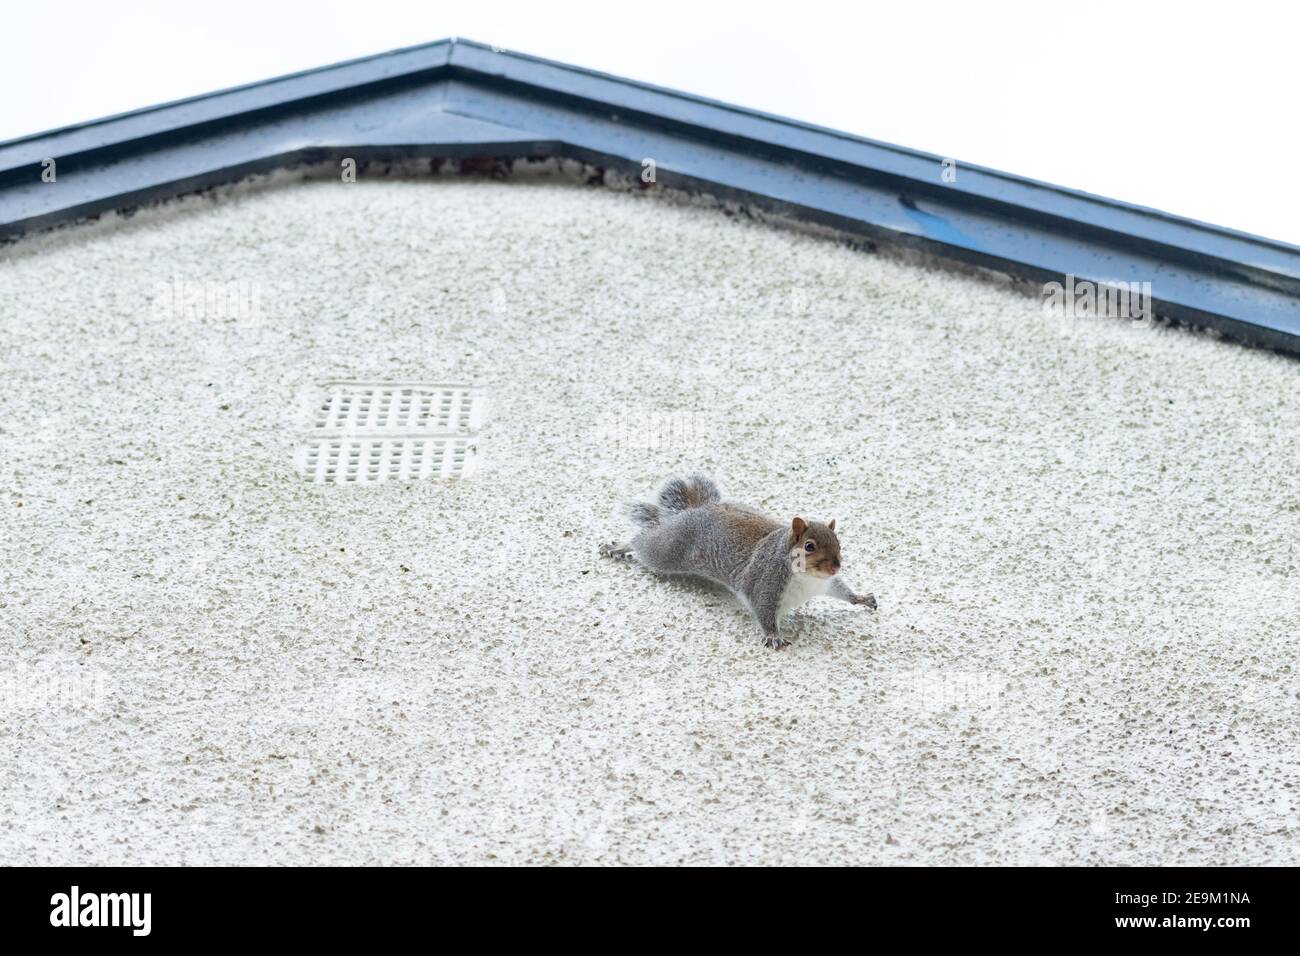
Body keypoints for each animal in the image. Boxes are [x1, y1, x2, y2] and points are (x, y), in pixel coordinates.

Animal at [599, 474, 877, 649]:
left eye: (838, 541)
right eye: (809, 546)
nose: (836, 566)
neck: (808, 579)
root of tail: (695, 510)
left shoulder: (825, 583)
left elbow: (841, 590)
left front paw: (861, 598)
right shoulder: (765, 584)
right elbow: (763, 612)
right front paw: (774, 636)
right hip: (667, 549)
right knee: (643, 542)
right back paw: (619, 546)